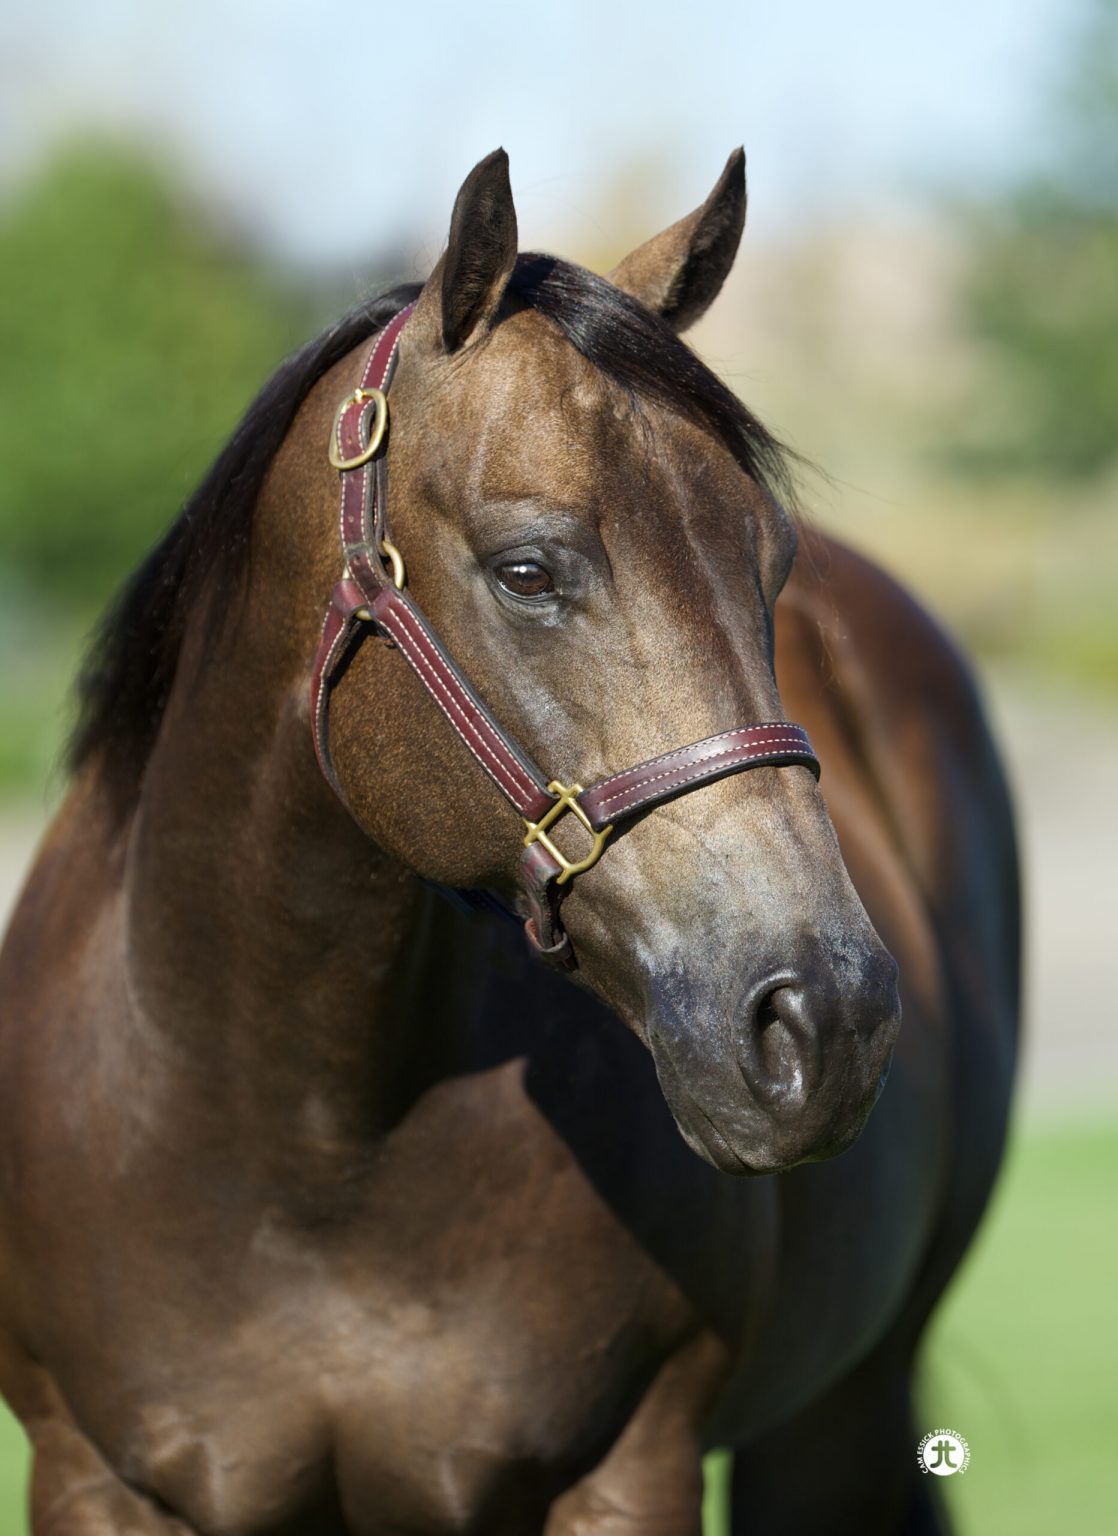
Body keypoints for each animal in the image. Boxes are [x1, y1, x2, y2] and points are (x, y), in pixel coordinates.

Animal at [0, 148, 1018, 1535]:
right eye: (528, 570)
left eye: (770, 565)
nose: (828, 1018)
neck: (302, 1143)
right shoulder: (93, 1475)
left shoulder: (624, 1473)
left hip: (841, 1416)